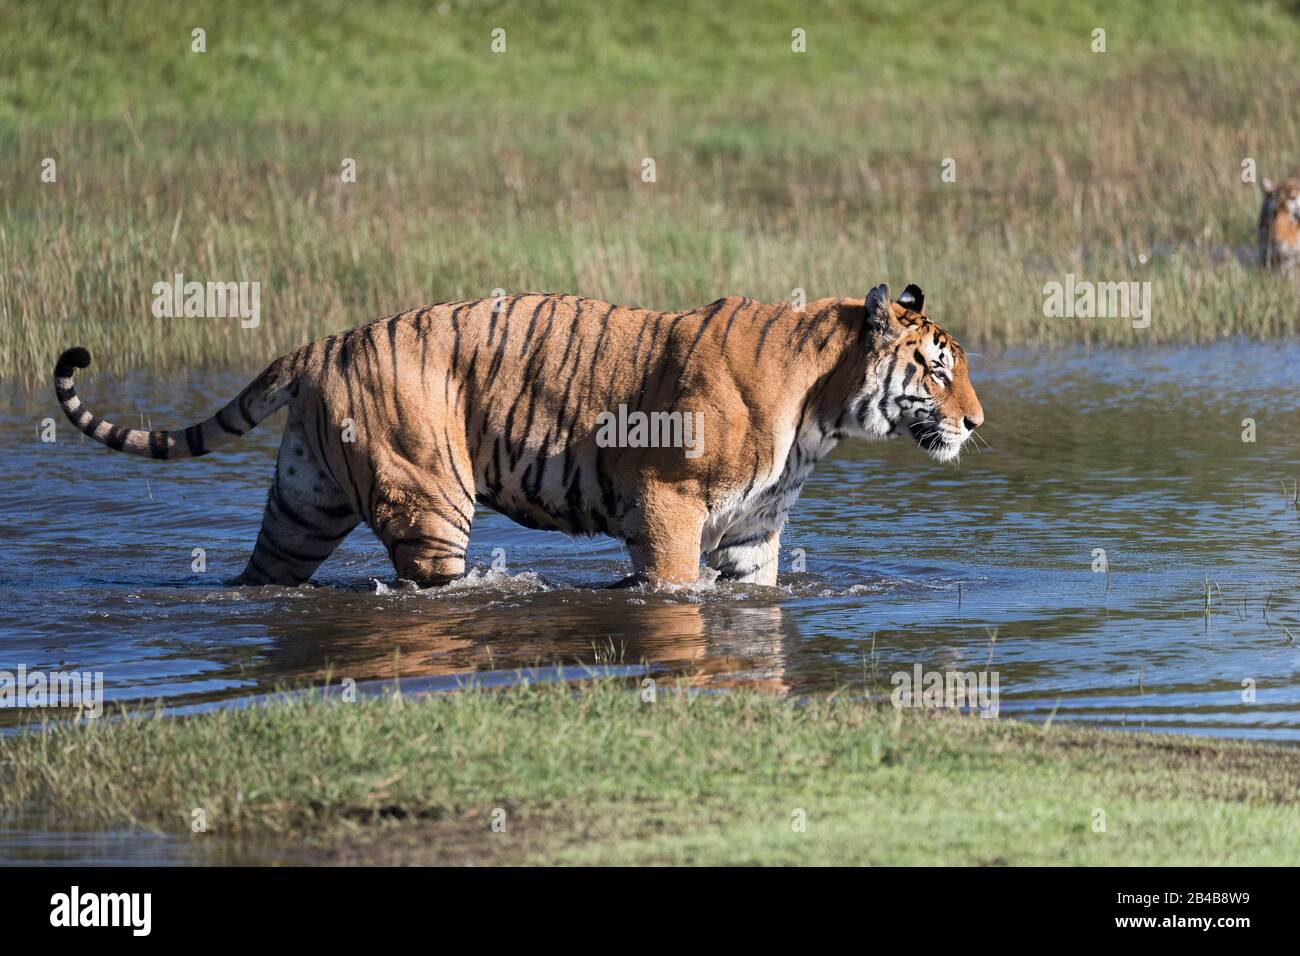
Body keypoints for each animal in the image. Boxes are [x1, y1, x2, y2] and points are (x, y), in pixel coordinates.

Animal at [54, 282, 983, 589]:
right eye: (938, 369)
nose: (976, 421)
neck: (821, 413)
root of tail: (326, 343)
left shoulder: (752, 531)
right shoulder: (668, 504)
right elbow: (674, 589)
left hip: (302, 505)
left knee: (265, 573)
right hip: (427, 500)